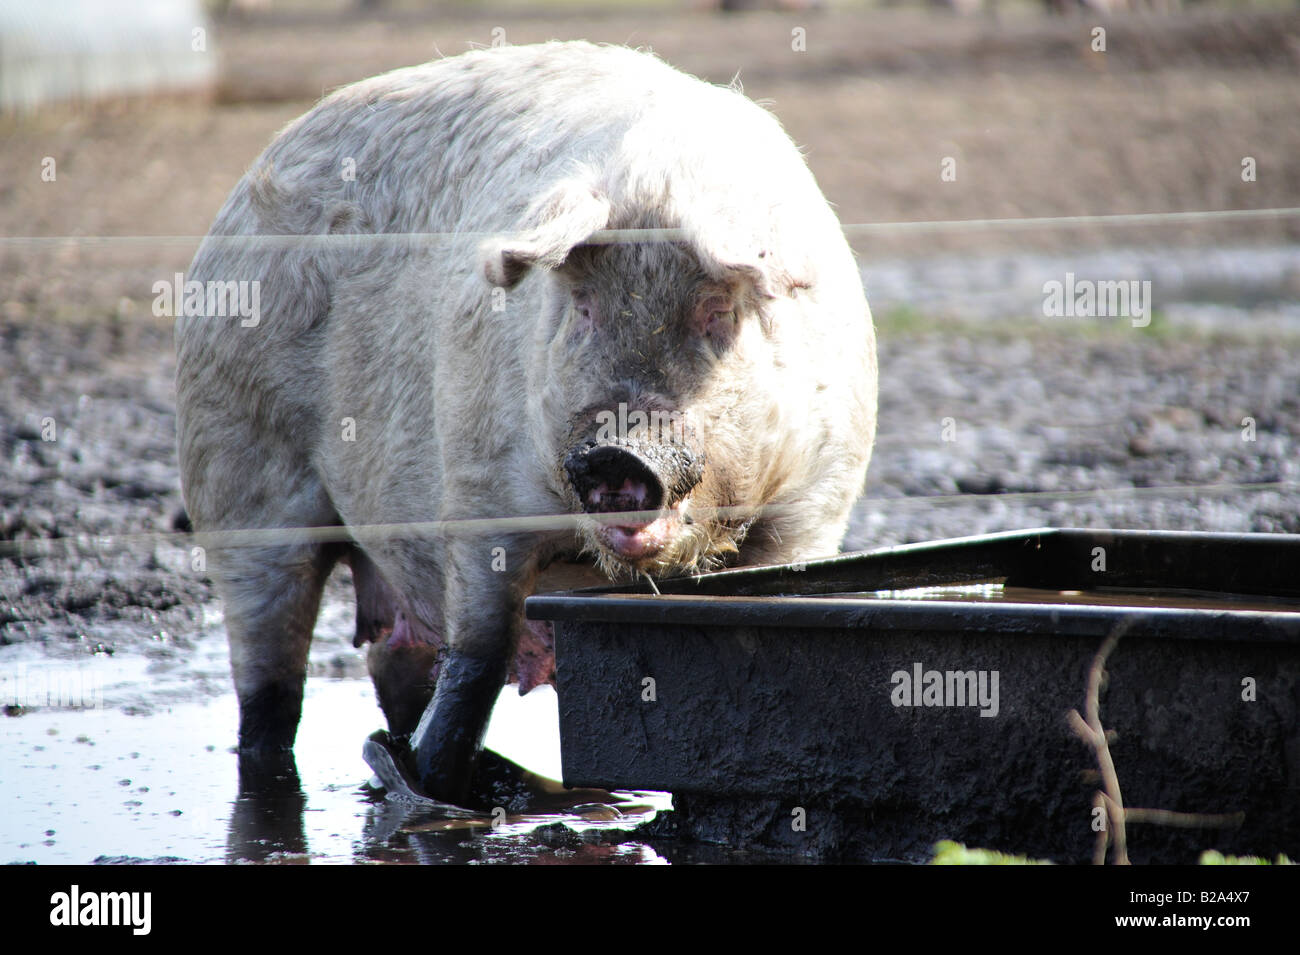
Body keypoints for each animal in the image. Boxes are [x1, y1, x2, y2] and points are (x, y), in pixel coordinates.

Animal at [174, 40, 877, 806]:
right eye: (583, 309)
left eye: (718, 312)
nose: (617, 451)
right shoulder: (477, 484)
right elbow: (479, 657)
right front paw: (441, 781)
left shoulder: (814, 506)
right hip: (236, 466)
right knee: (272, 683)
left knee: (394, 671)